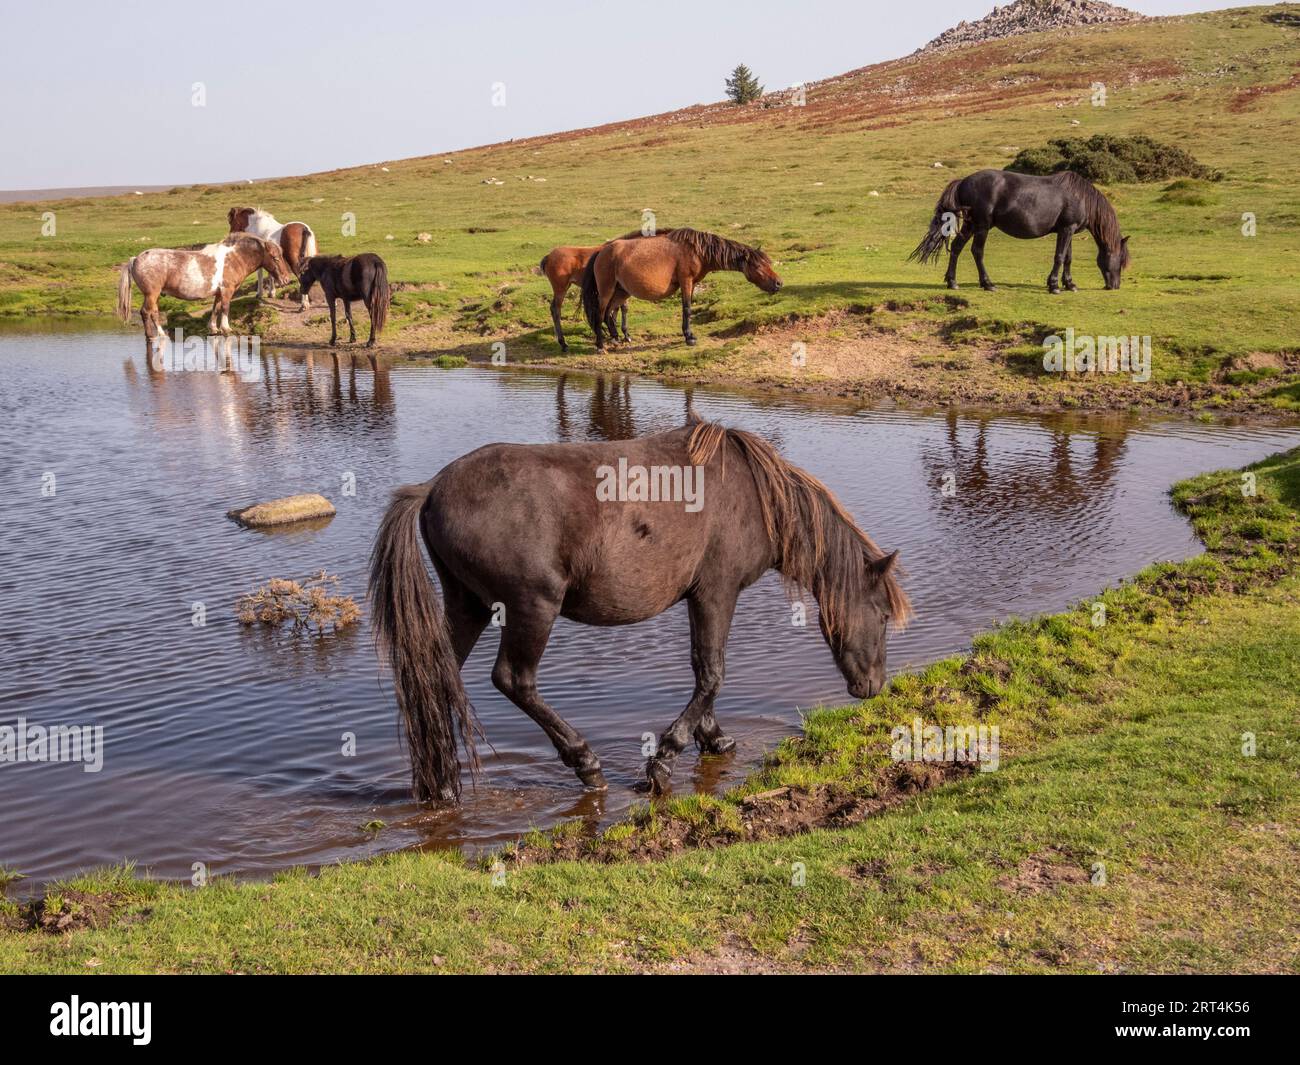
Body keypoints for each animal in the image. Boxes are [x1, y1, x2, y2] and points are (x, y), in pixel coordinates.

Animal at [116, 234, 292, 341]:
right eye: (275, 258)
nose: (286, 279)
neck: (234, 259)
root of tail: (136, 259)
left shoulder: (219, 293)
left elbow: (216, 308)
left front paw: (213, 328)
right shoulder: (227, 291)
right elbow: (225, 309)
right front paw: (226, 329)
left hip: (154, 295)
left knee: (151, 312)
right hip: (152, 294)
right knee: (147, 312)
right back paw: (156, 334)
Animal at [368, 412, 910, 802]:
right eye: (883, 616)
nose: (873, 687)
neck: (755, 495)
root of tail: (431, 489)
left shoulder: (699, 598)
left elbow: (701, 670)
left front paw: (713, 739)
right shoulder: (717, 592)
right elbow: (713, 673)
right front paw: (665, 759)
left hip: (470, 607)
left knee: (435, 675)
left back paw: (440, 785)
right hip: (531, 607)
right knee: (514, 681)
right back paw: (585, 763)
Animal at [540, 229, 676, 352]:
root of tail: (548, 257)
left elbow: (617, 309)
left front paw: (615, 333)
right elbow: (621, 309)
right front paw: (622, 334)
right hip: (561, 289)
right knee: (556, 310)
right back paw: (563, 343)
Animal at [580, 228, 782, 353]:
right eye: (758, 266)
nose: (779, 283)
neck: (698, 251)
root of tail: (601, 251)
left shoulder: (692, 284)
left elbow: (688, 307)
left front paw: (689, 335)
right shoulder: (686, 281)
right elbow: (687, 308)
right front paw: (689, 337)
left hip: (621, 292)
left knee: (608, 314)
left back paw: (615, 338)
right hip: (607, 290)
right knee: (600, 313)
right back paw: (600, 345)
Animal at [909, 169, 1130, 292]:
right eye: (1120, 260)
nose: (1114, 286)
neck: (1081, 197)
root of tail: (963, 181)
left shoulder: (1067, 230)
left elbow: (1067, 258)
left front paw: (1069, 284)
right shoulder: (1066, 229)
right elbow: (1059, 257)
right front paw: (1054, 286)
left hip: (970, 225)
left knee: (956, 248)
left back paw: (952, 282)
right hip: (982, 226)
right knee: (977, 251)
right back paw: (988, 284)